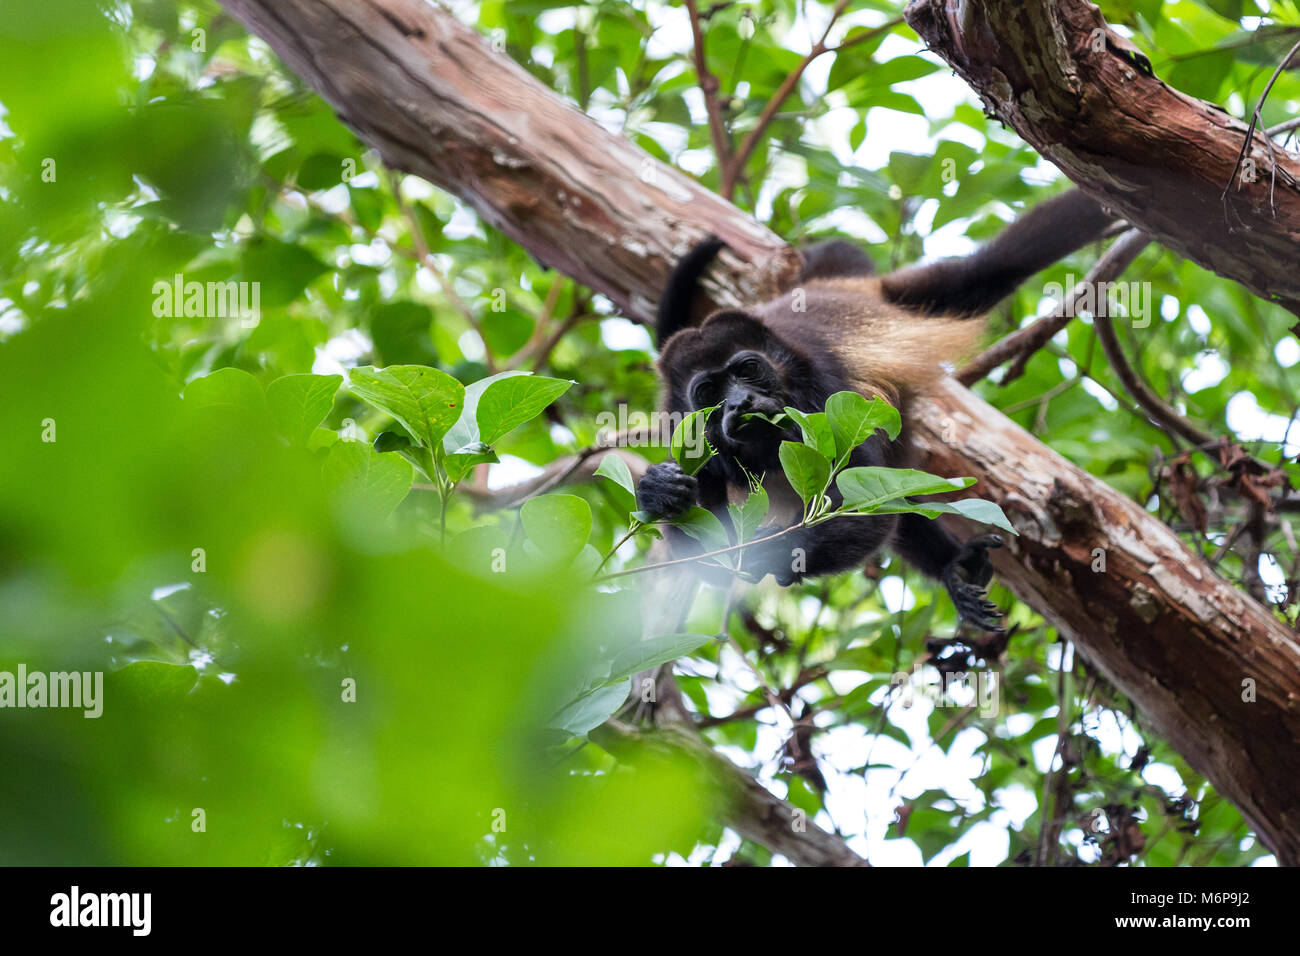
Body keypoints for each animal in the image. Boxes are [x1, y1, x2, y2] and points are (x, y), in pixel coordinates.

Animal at [636, 189, 1115, 632]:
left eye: (749, 369)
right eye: (709, 392)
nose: (741, 403)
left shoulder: (829, 394)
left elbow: (863, 506)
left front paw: (765, 555)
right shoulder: (687, 437)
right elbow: (696, 556)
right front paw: (658, 491)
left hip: (911, 294)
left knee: (991, 267)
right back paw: (956, 566)